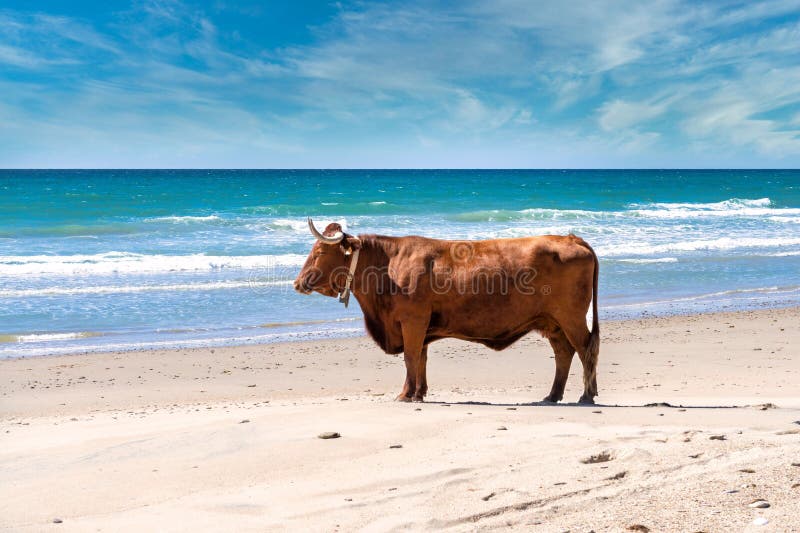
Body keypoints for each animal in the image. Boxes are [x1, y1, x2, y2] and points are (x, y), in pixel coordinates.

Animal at [293, 218, 600, 404]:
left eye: (319, 252)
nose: (298, 282)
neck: (388, 265)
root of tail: (571, 238)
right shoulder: (420, 326)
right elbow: (421, 359)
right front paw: (419, 393)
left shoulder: (412, 321)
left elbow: (410, 357)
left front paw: (405, 394)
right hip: (552, 322)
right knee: (564, 353)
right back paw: (552, 395)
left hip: (571, 318)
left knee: (586, 349)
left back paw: (586, 395)